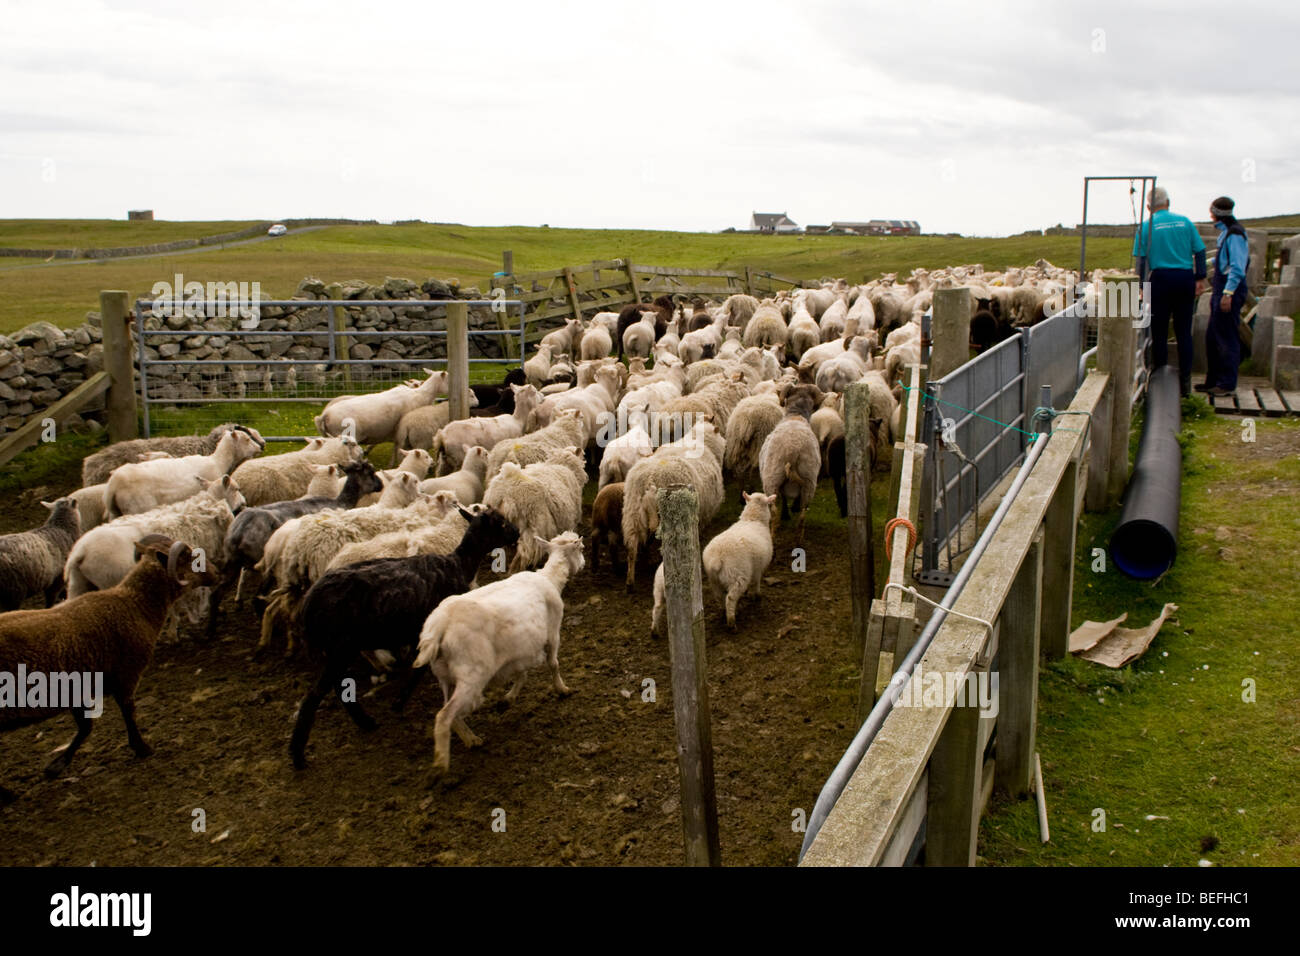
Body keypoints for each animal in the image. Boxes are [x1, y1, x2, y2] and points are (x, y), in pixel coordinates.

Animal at [0, 535, 213, 796]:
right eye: (189, 558)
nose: (216, 572)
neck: (133, 604)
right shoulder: (126, 675)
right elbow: (128, 712)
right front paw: (142, 747)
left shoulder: (78, 688)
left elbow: (86, 727)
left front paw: (56, 766)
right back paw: (5, 795)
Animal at [289, 506, 520, 769]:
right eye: (501, 523)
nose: (517, 532)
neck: (459, 564)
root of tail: (308, 604)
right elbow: (419, 668)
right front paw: (399, 701)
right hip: (341, 646)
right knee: (314, 696)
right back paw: (298, 755)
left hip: (339, 648)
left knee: (338, 687)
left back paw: (365, 722)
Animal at [413, 531, 583, 775]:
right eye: (581, 549)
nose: (584, 563)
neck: (549, 578)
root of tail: (439, 626)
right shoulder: (553, 633)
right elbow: (553, 664)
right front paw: (562, 689)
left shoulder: (521, 649)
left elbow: (522, 675)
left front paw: (508, 699)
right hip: (472, 674)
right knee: (445, 715)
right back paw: (442, 762)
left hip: (444, 675)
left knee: (449, 712)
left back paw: (470, 739)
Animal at [702, 491, 777, 629]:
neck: (752, 519)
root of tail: (717, 558)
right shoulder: (757, 568)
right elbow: (756, 583)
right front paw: (757, 596)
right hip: (738, 575)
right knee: (730, 598)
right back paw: (731, 621)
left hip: (713, 579)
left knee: (720, 596)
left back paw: (725, 612)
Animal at [759, 384, 824, 536]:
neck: (795, 416)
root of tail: (792, 449)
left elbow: (783, 498)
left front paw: (786, 515)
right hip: (809, 481)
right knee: (802, 517)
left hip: (771, 479)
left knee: (774, 515)